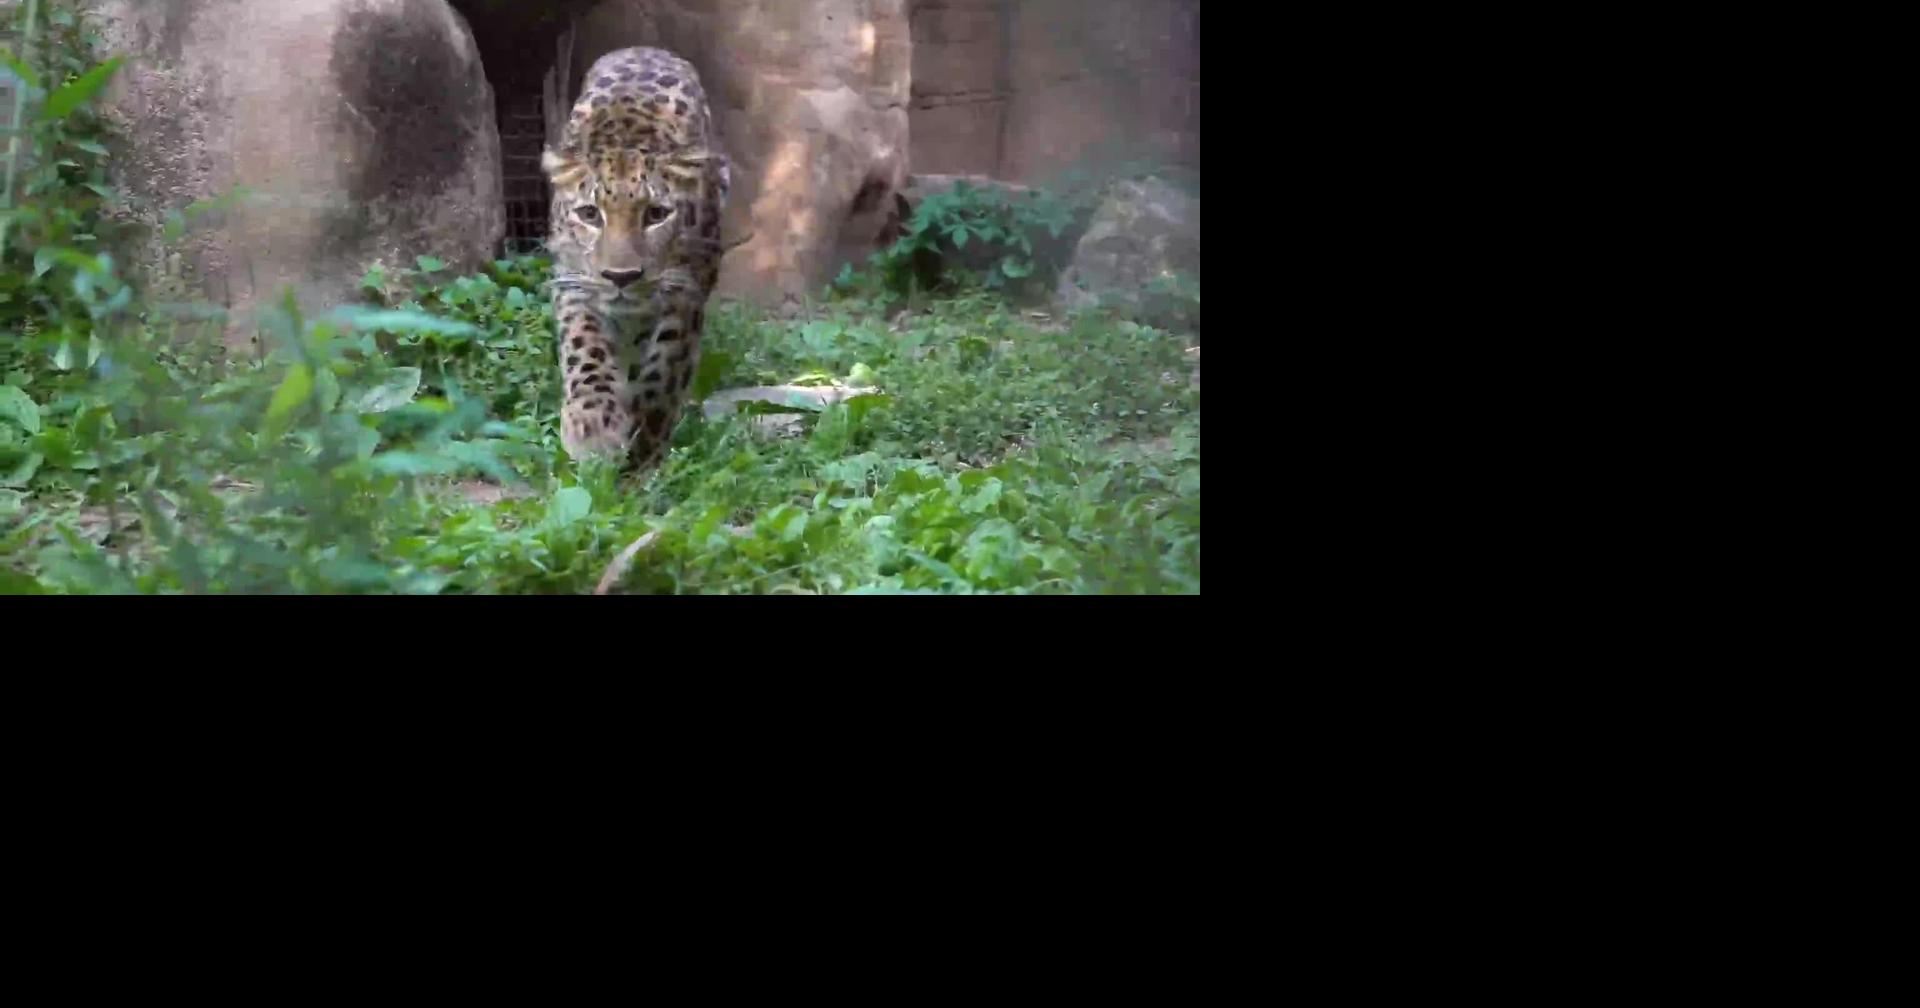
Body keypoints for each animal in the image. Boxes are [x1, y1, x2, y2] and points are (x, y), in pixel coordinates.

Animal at [541, 46, 731, 475]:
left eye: (656, 215)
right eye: (589, 214)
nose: (621, 277)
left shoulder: (685, 292)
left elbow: (664, 372)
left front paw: (643, 452)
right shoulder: (573, 281)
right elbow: (585, 348)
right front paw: (592, 426)